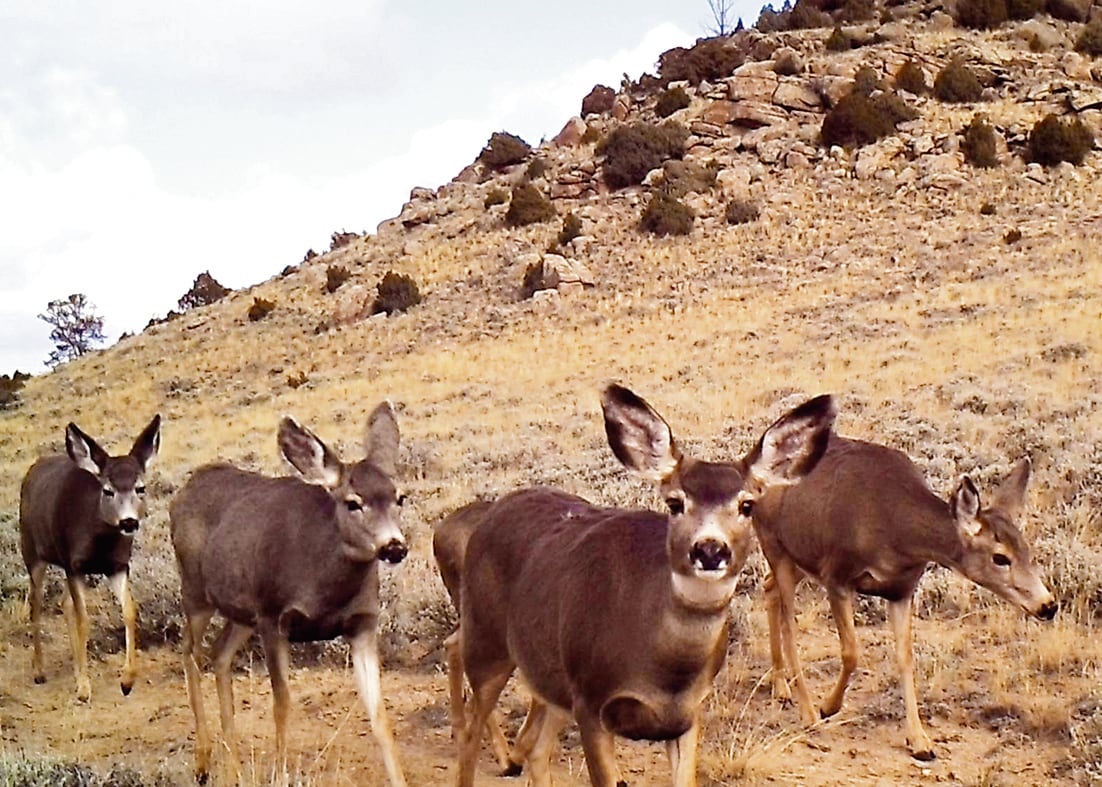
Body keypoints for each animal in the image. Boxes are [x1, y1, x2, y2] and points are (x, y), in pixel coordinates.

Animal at [19, 415, 161, 702]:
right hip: (33, 553)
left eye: (140, 487)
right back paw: (39, 670)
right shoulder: (74, 564)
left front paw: (127, 680)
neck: (98, 542)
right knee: (36, 604)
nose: (128, 521)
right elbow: (84, 619)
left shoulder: (118, 566)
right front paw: (84, 688)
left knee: (63, 602)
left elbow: (130, 611)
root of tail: (33, 469)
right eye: (107, 490)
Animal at [170, 403, 409, 785]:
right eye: (353, 503)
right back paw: (204, 762)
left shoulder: (362, 623)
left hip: (240, 612)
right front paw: (281, 772)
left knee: (219, 655)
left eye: (400, 497)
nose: (394, 546)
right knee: (190, 652)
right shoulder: (273, 615)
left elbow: (379, 714)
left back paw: (233, 763)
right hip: (195, 591)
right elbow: (282, 703)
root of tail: (184, 491)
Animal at [455, 385, 836, 787]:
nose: (710, 549)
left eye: (747, 504)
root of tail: (492, 512)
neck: (664, 669)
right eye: (675, 502)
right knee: (470, 735)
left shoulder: (687, 714)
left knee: (535, 748)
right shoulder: (591, 698)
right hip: (485, 644)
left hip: (549, 677)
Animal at [755, 435, 1058, 760]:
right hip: (775, 544)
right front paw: (828, 706)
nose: (1048, 605)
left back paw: (781, 687)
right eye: (1000, 558)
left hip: (800, 557)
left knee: (769, 587)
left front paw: (920, 741)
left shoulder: (901, 590)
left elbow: (905, 658)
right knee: (789, 623)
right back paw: (808, 713)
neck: (898, 534)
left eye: (1027, 550)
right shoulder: (837, 575)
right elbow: (851, 652)